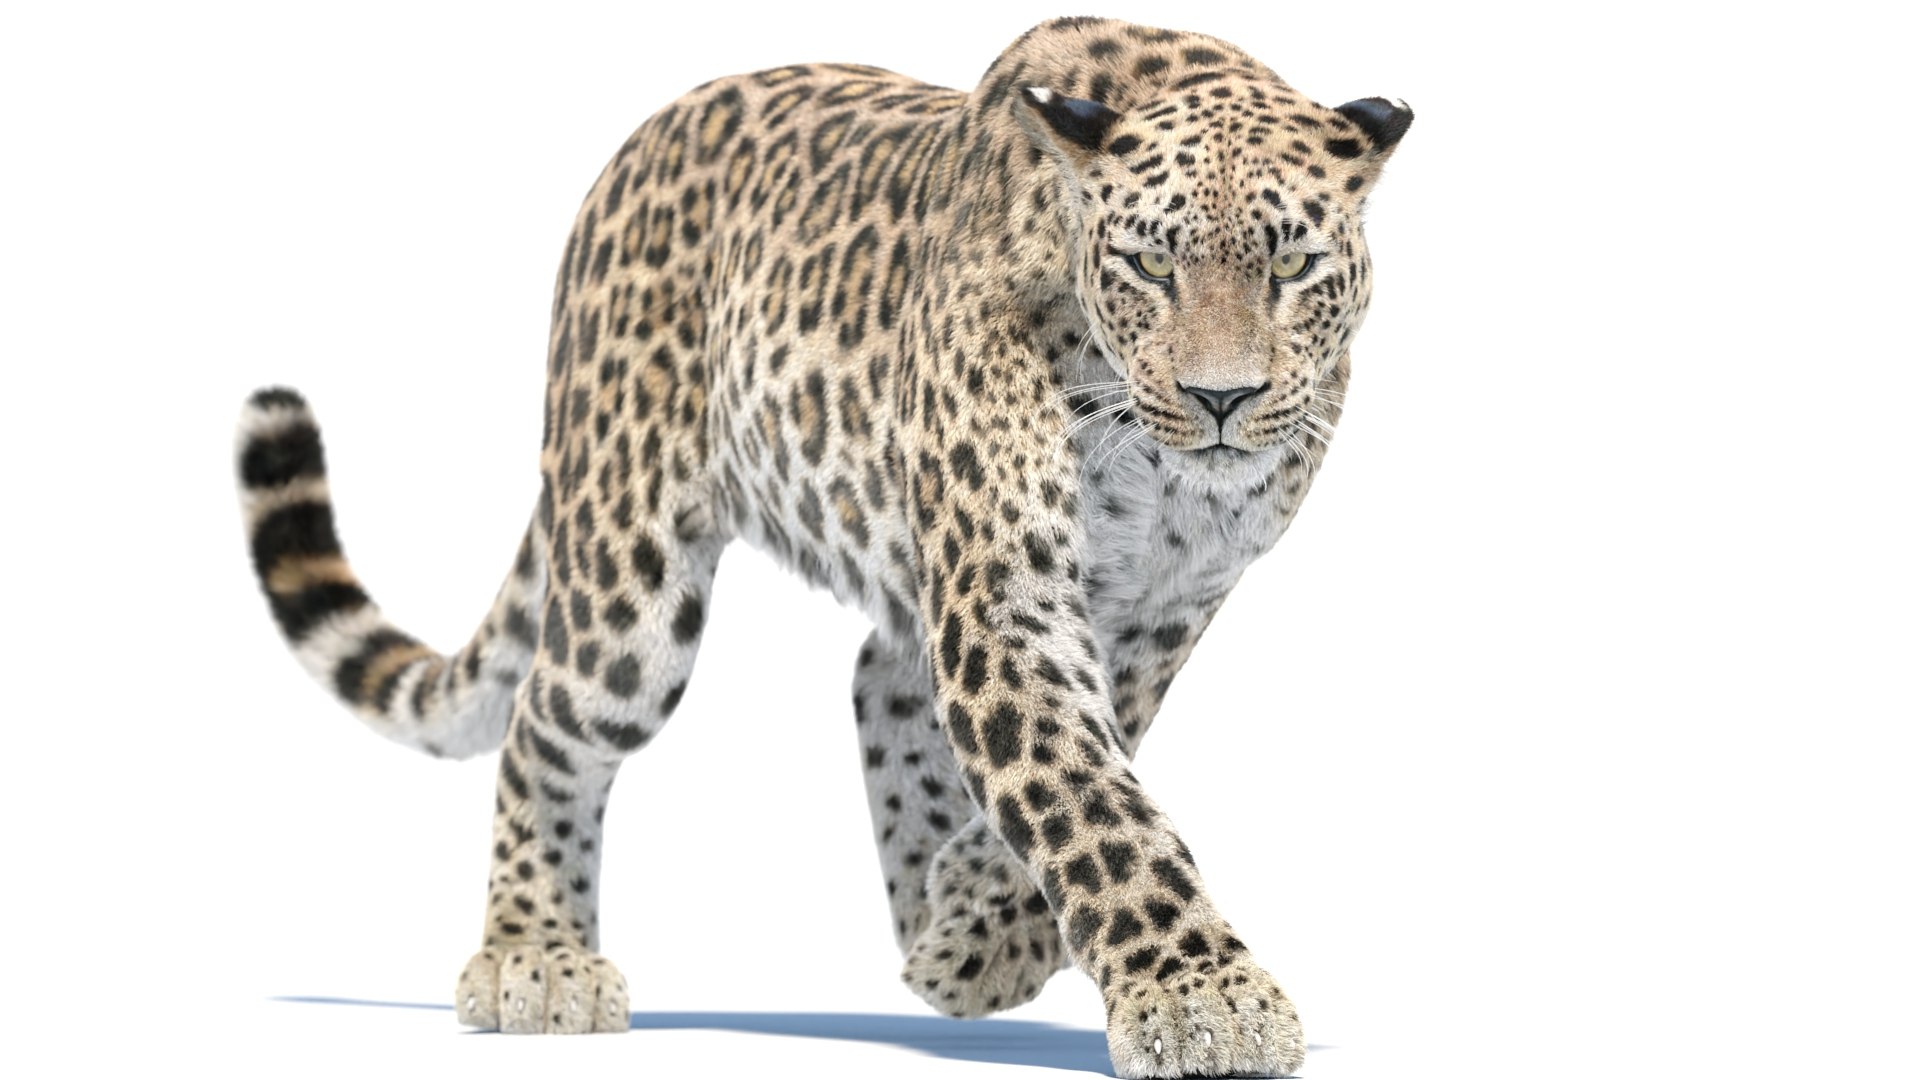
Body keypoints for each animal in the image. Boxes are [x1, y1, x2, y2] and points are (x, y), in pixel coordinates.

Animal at [234, 17, 1411, 1078]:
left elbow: (1079, 768)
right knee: (544, 724)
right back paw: (537, 958)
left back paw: (930, 922)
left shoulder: (1160, 610)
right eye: (1148, 265)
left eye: (1294, 266)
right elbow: (1088, 799)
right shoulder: (1007, 596)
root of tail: (630, 153)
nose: (1223, 398)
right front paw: (1204, 999)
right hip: (629, 582)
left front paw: (982, 925)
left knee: (878, 681)